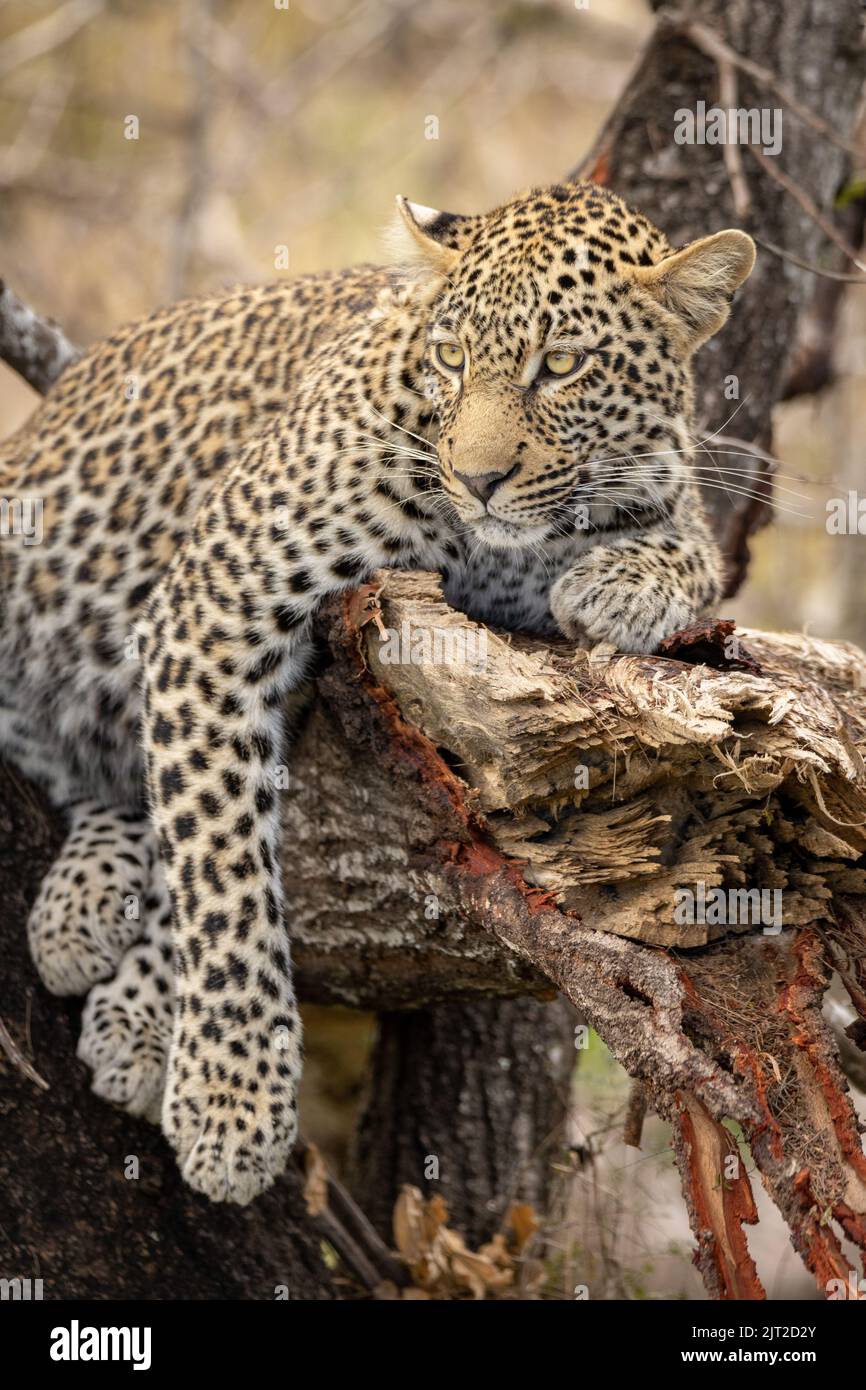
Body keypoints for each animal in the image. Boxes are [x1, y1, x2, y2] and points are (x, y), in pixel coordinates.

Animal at [0, 181, 755, 1204]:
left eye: (560, 366)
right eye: (453, 356)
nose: (478, 480)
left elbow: (691, 548)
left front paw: (619, 582)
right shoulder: (217, 597)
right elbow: (220, 862)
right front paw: (233, 1101)